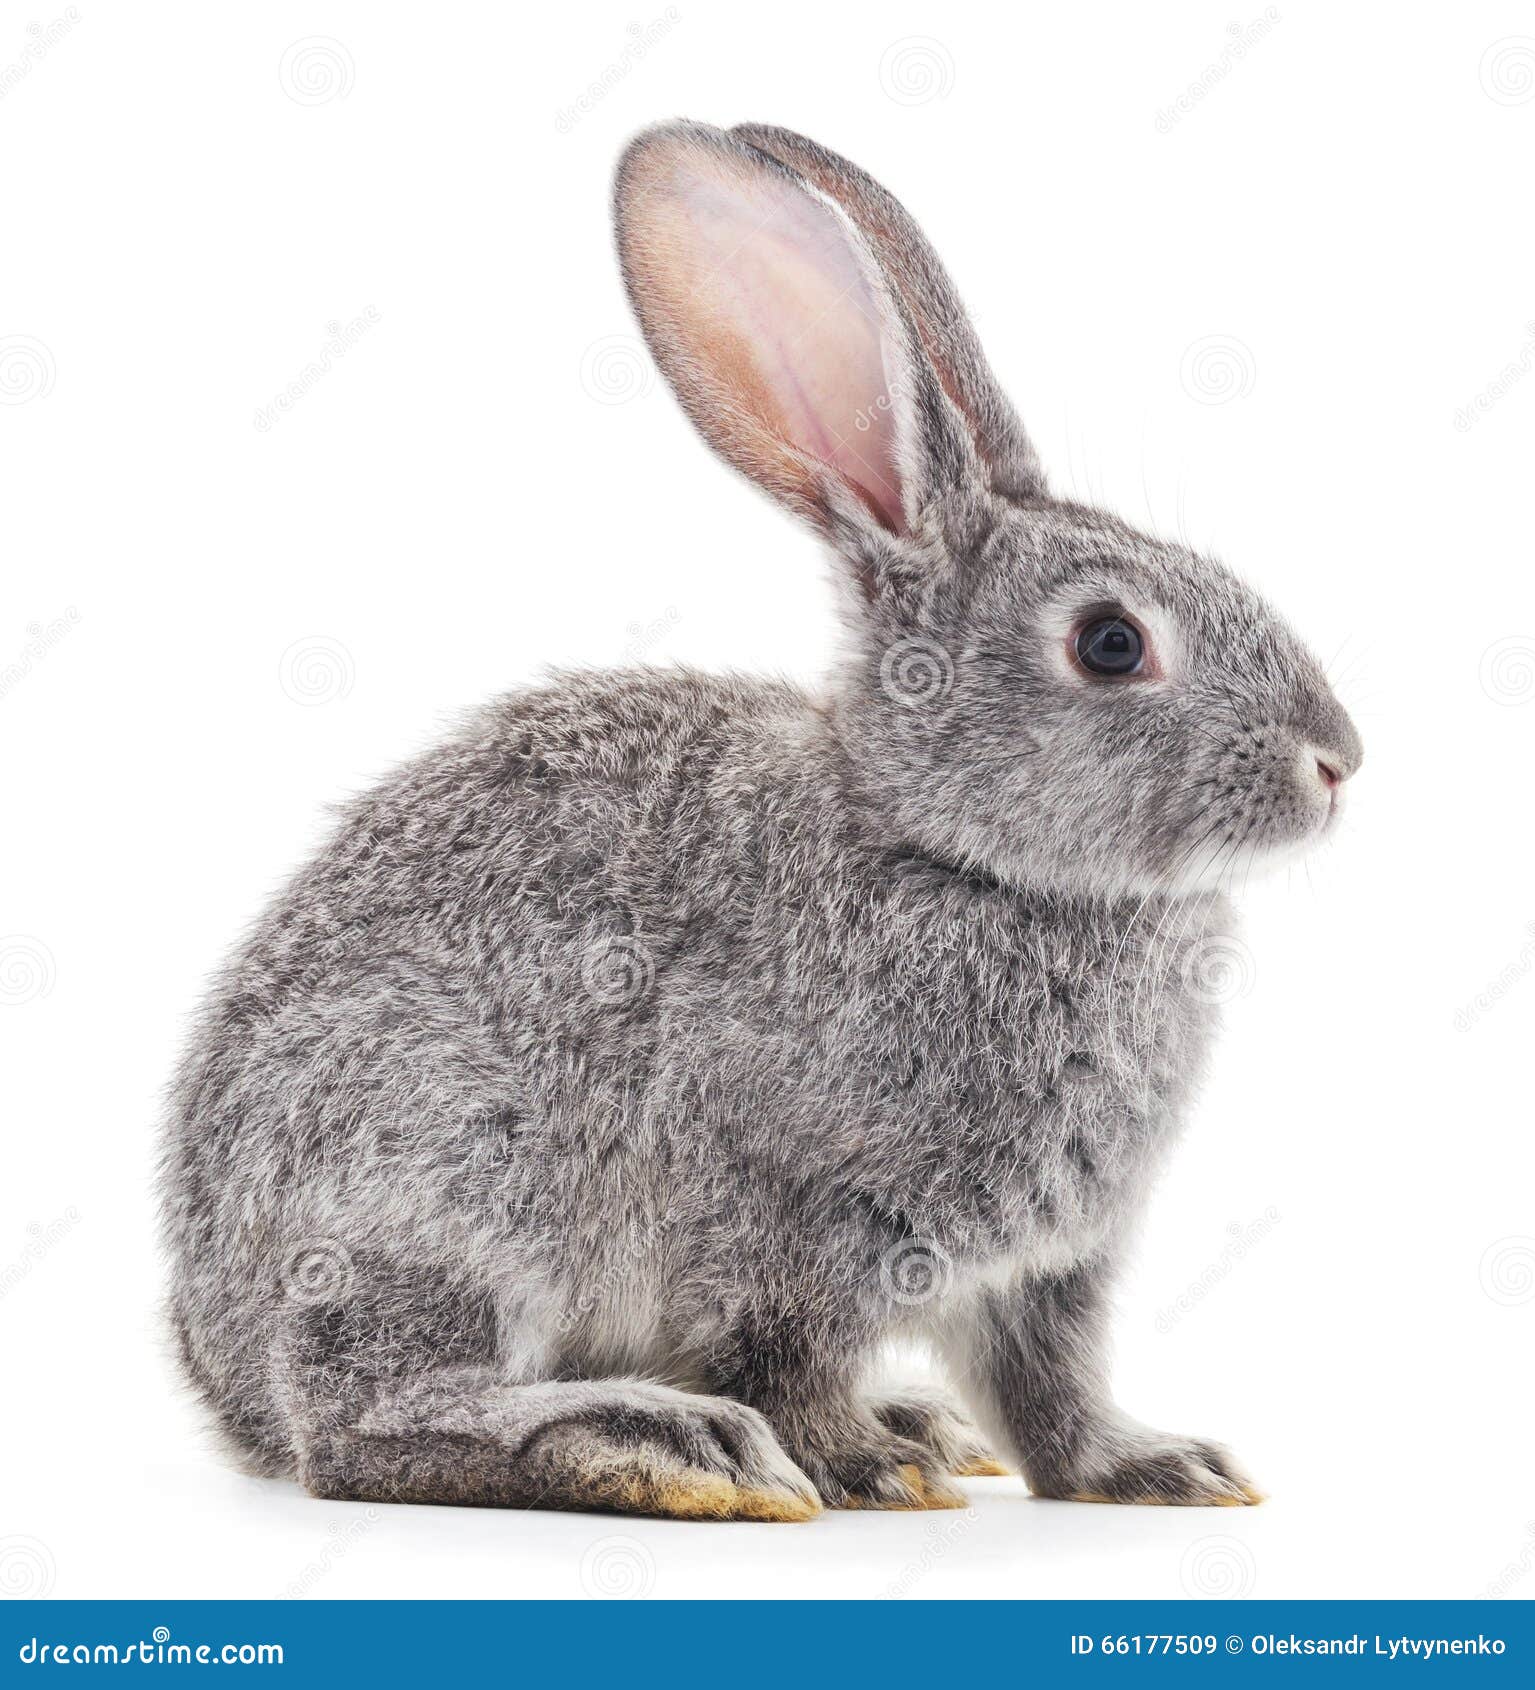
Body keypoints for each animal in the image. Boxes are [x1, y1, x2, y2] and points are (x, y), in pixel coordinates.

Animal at [159, 119, 1361, 1521]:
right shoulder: (794, 1220)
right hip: (445, 1170)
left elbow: (1048, 1389)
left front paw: (1142, 1466)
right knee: (360, 1424)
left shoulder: (1043, 1269)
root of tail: (215, 1364)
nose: (1336, 762)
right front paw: (866, 1462)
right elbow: (791, 1355)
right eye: (1110, 643)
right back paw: (663, 1442)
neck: (957, 856)